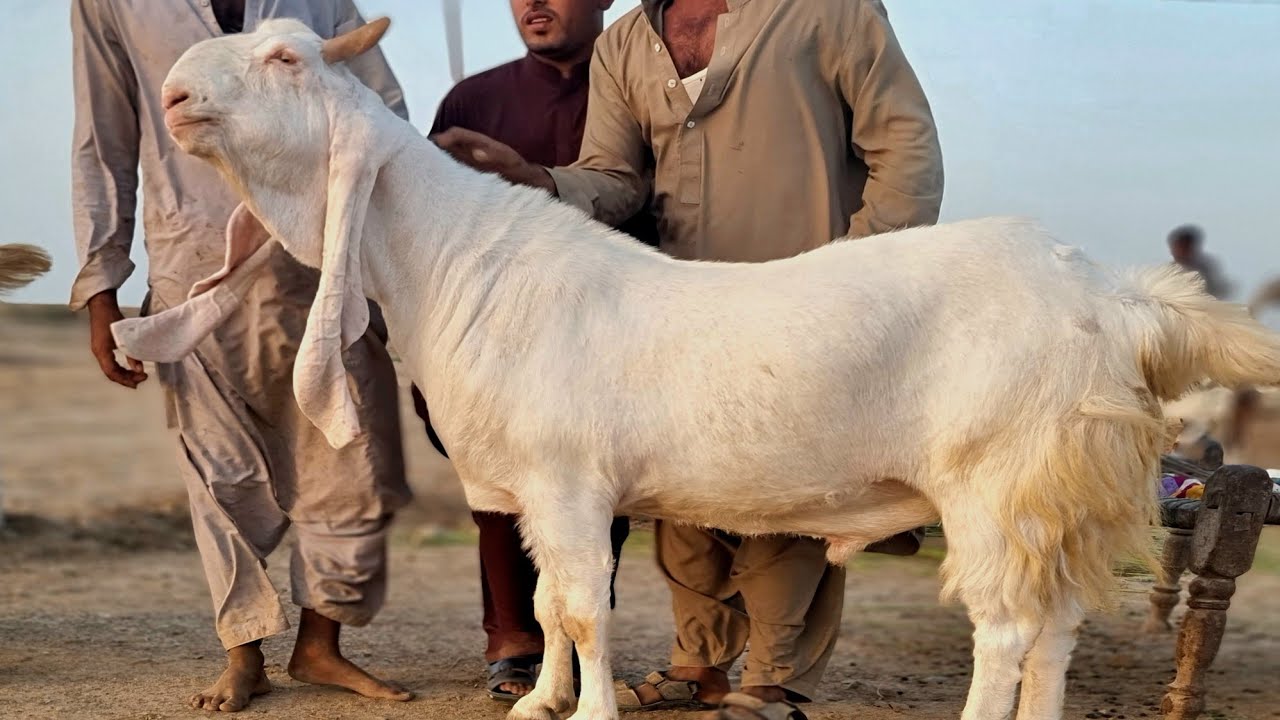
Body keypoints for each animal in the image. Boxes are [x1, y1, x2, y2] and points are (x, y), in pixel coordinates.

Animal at [113, 18, 1280, 720]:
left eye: (287, 60)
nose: (172, 94)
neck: (456, 260)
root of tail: (1110, 295)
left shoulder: (569, 481)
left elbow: (584, 608)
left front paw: (585, 708)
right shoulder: (537, 489)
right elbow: (549, 607)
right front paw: (537, 699)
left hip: (998, 483)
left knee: (1006, 629)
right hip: (1058, 493)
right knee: (1057, 629)